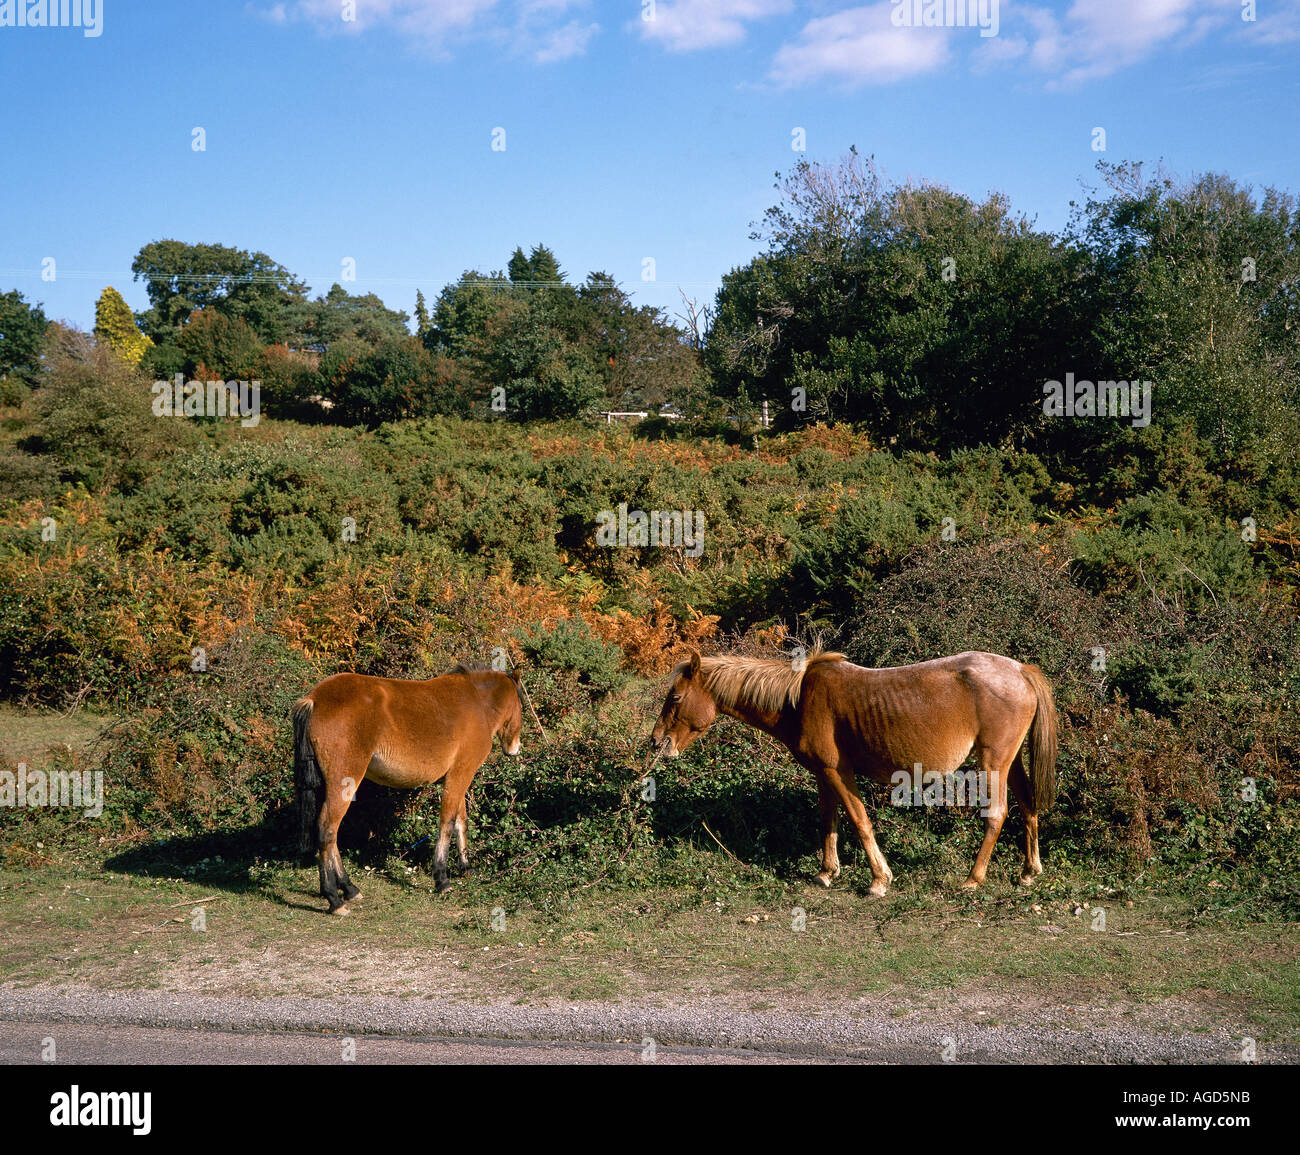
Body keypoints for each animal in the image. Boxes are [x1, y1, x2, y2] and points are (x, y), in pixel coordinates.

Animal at [291, 663, 523, 914]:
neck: (478, 702)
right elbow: (447, 823)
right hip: (343, 781)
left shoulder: (457, 777)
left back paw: (349, 888)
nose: (514, 748)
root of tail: (315, 698)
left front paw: (466, 867)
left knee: (330, 834)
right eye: (521, 704)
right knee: (327, 830)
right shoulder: (460, 774)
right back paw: (334, 898)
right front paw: (442, 878)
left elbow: (460, 820)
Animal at [649, 647, 1057, 896]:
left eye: (676, 698)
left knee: (997, 815)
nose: (656, 742)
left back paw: (973, 879)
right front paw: (827, 872)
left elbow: (859, 820)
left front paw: (879, 879)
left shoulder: (838, 772)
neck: (797, 700)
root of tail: (1021, 670)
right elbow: (828, 821)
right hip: (1011, 763)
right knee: (1028, 805)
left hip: (992, 765)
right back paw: (1029, 871)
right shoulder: (823, 775)